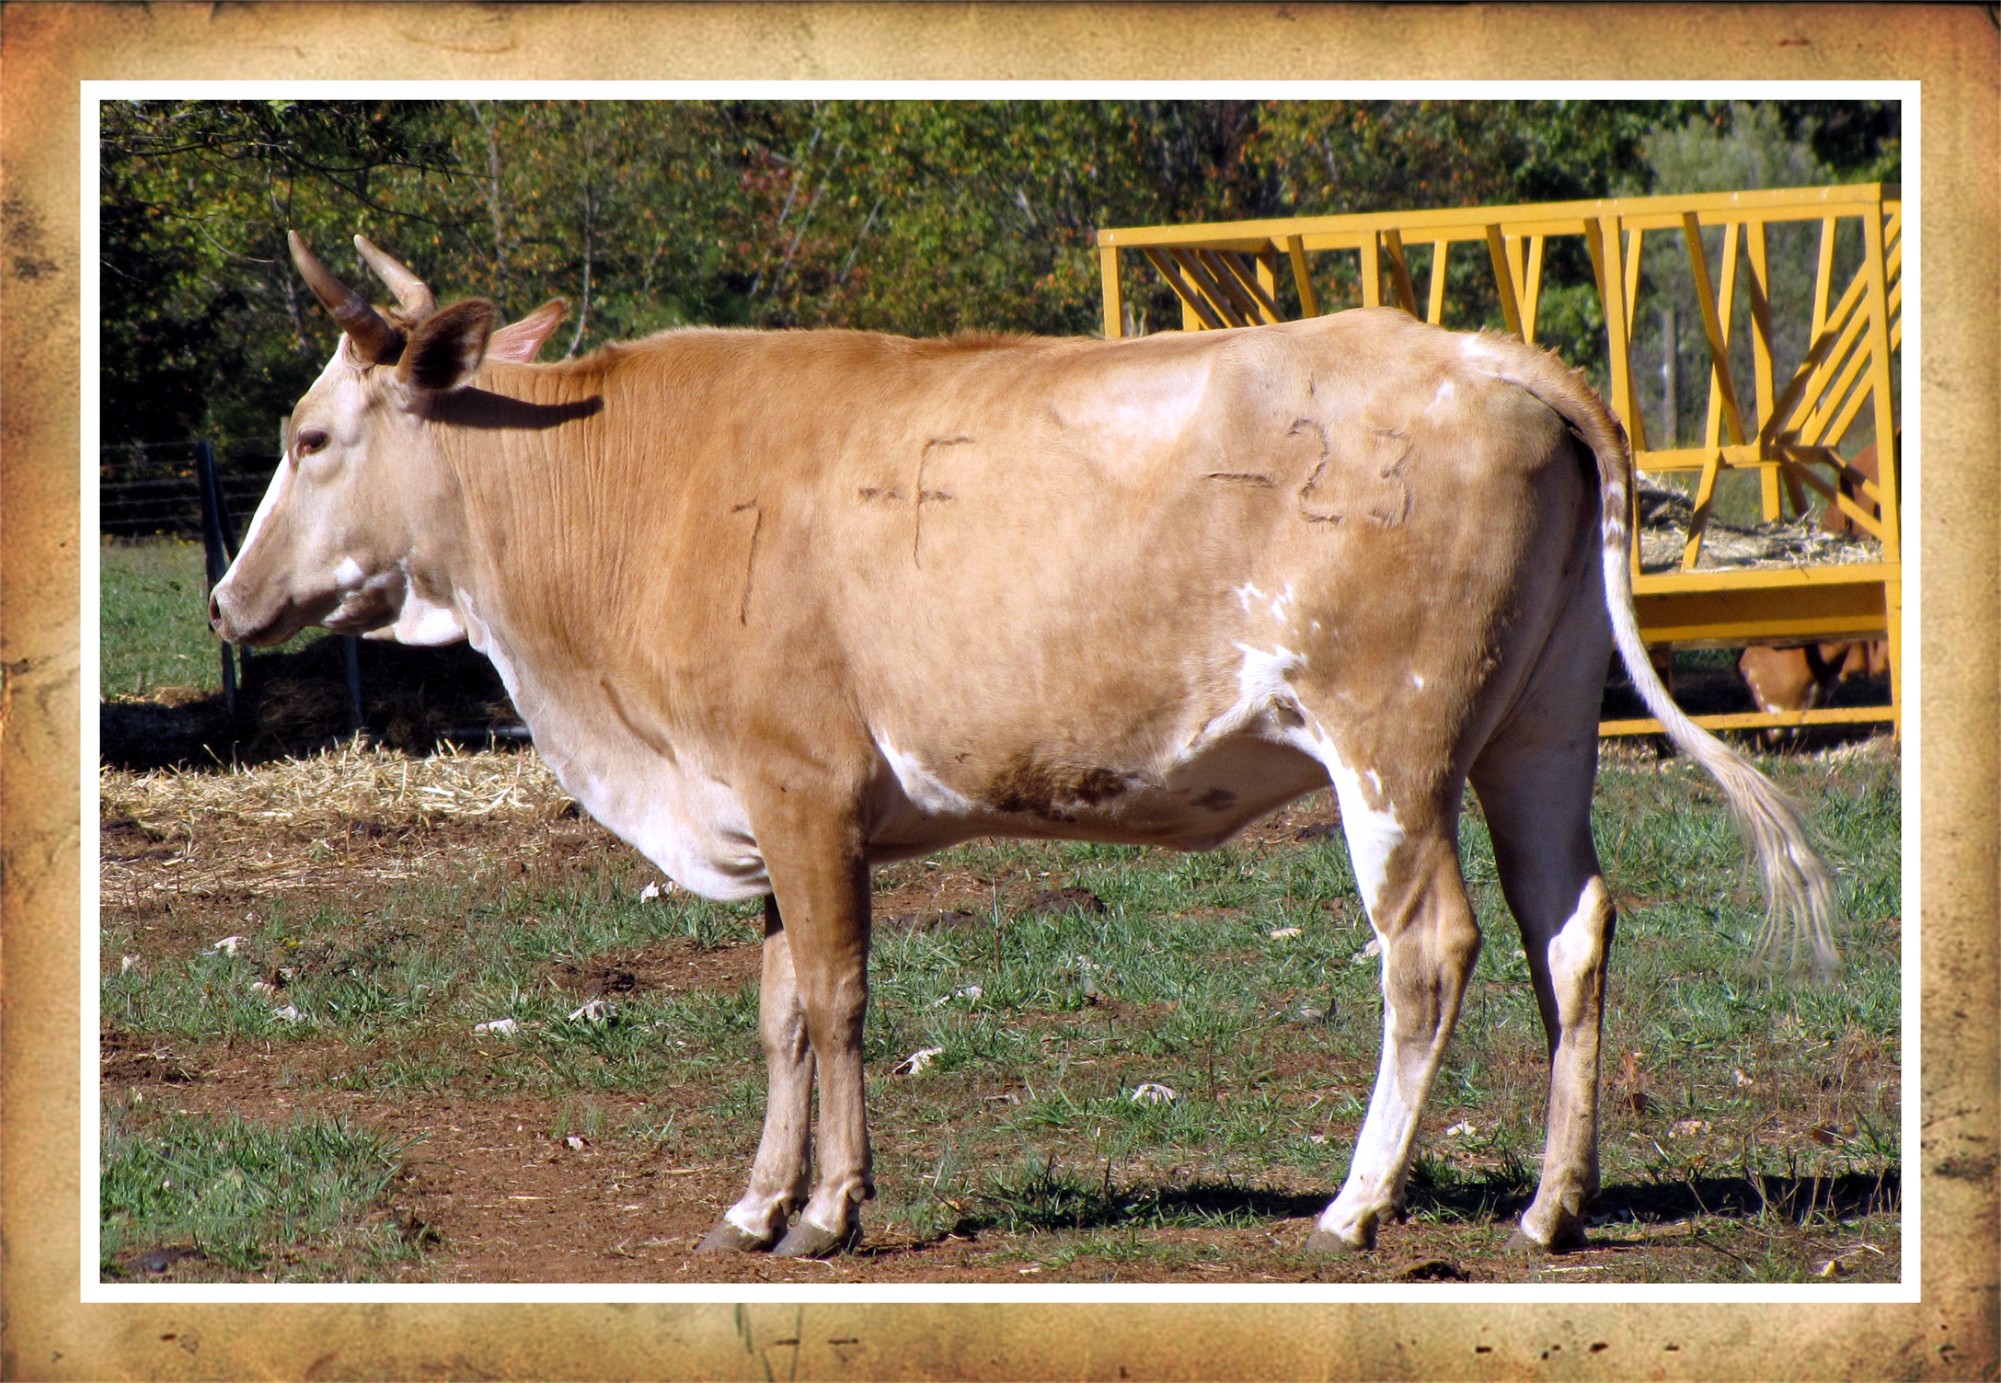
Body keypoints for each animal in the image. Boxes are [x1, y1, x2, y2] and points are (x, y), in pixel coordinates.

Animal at [210, 233, 1838, 1261]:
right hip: (1543, 728)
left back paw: (1356, 1203)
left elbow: (837, 1000)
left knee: (1431, 945)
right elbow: (779, 1009)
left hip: (1394, 743)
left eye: (308, 439)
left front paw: (828, 1211)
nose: (228, 599)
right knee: (1571, 927)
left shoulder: (800, 789)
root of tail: (1490, 360)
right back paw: (1552, 1206)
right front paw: (755, 1202)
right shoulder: (768, 802)